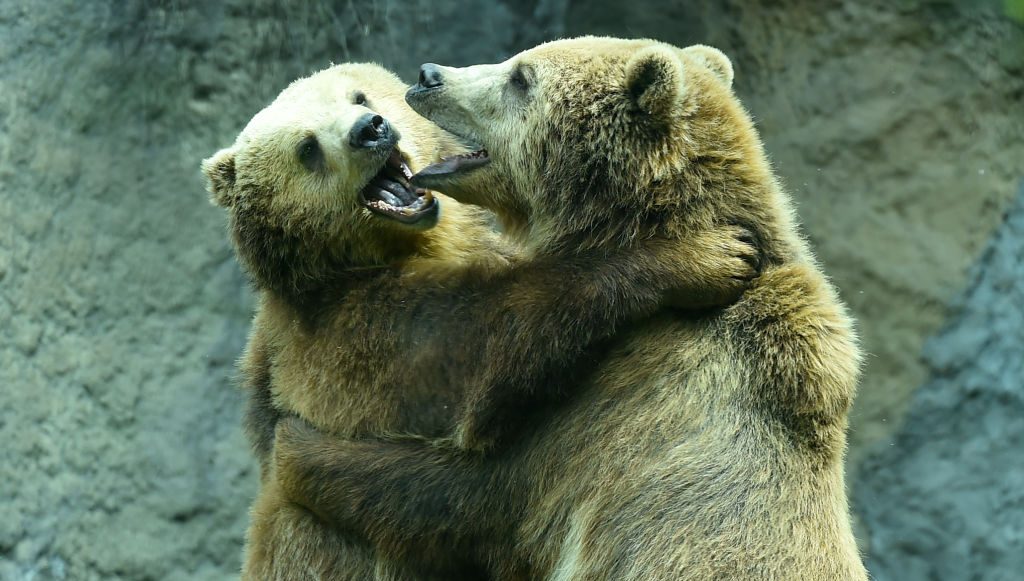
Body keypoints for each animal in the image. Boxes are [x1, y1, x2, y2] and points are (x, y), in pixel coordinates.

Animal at [272, 37, 869, 581]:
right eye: (520, 59)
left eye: (521, 76)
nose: (428, 74)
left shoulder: (607, 410)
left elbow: (472, 493)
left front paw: (298, 447)